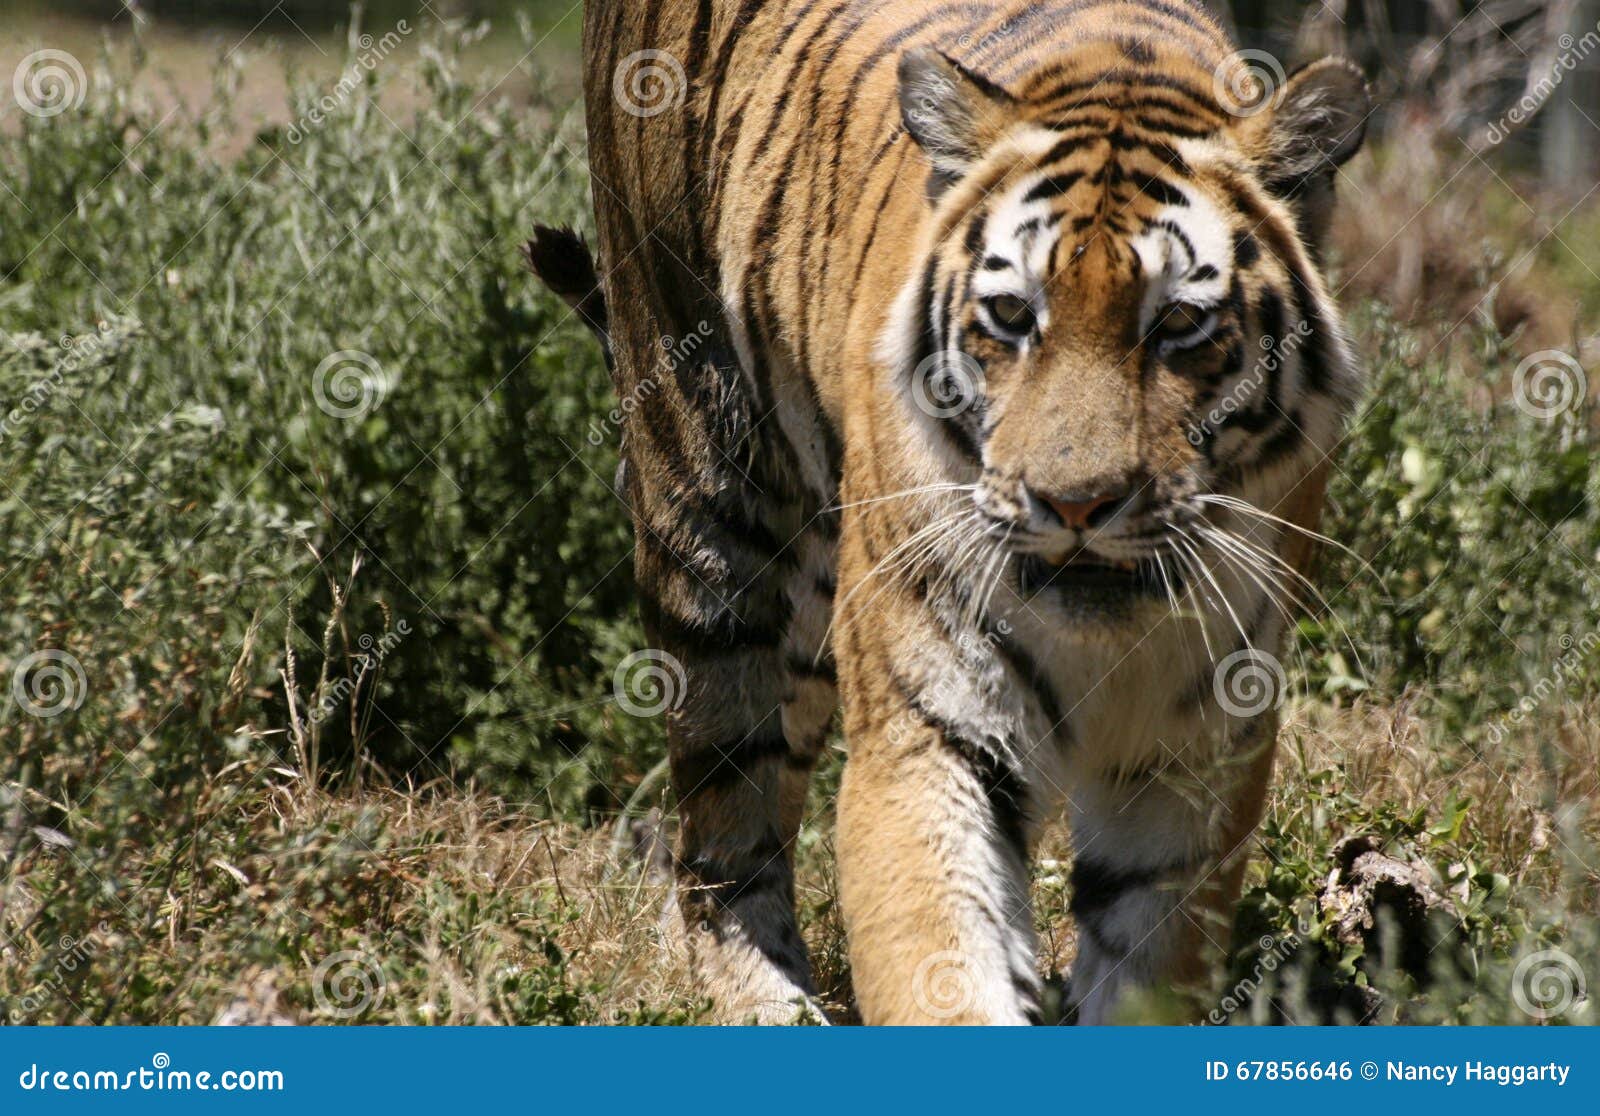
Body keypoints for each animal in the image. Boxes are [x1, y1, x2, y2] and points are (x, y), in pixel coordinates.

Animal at [527, 0, 1368, 1025]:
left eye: (1177, 325)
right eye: (1011, 316)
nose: (1075, 502)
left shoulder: (1194, 757)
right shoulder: (929, 731)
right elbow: (943, 964)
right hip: (708, 503)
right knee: (720, 846)